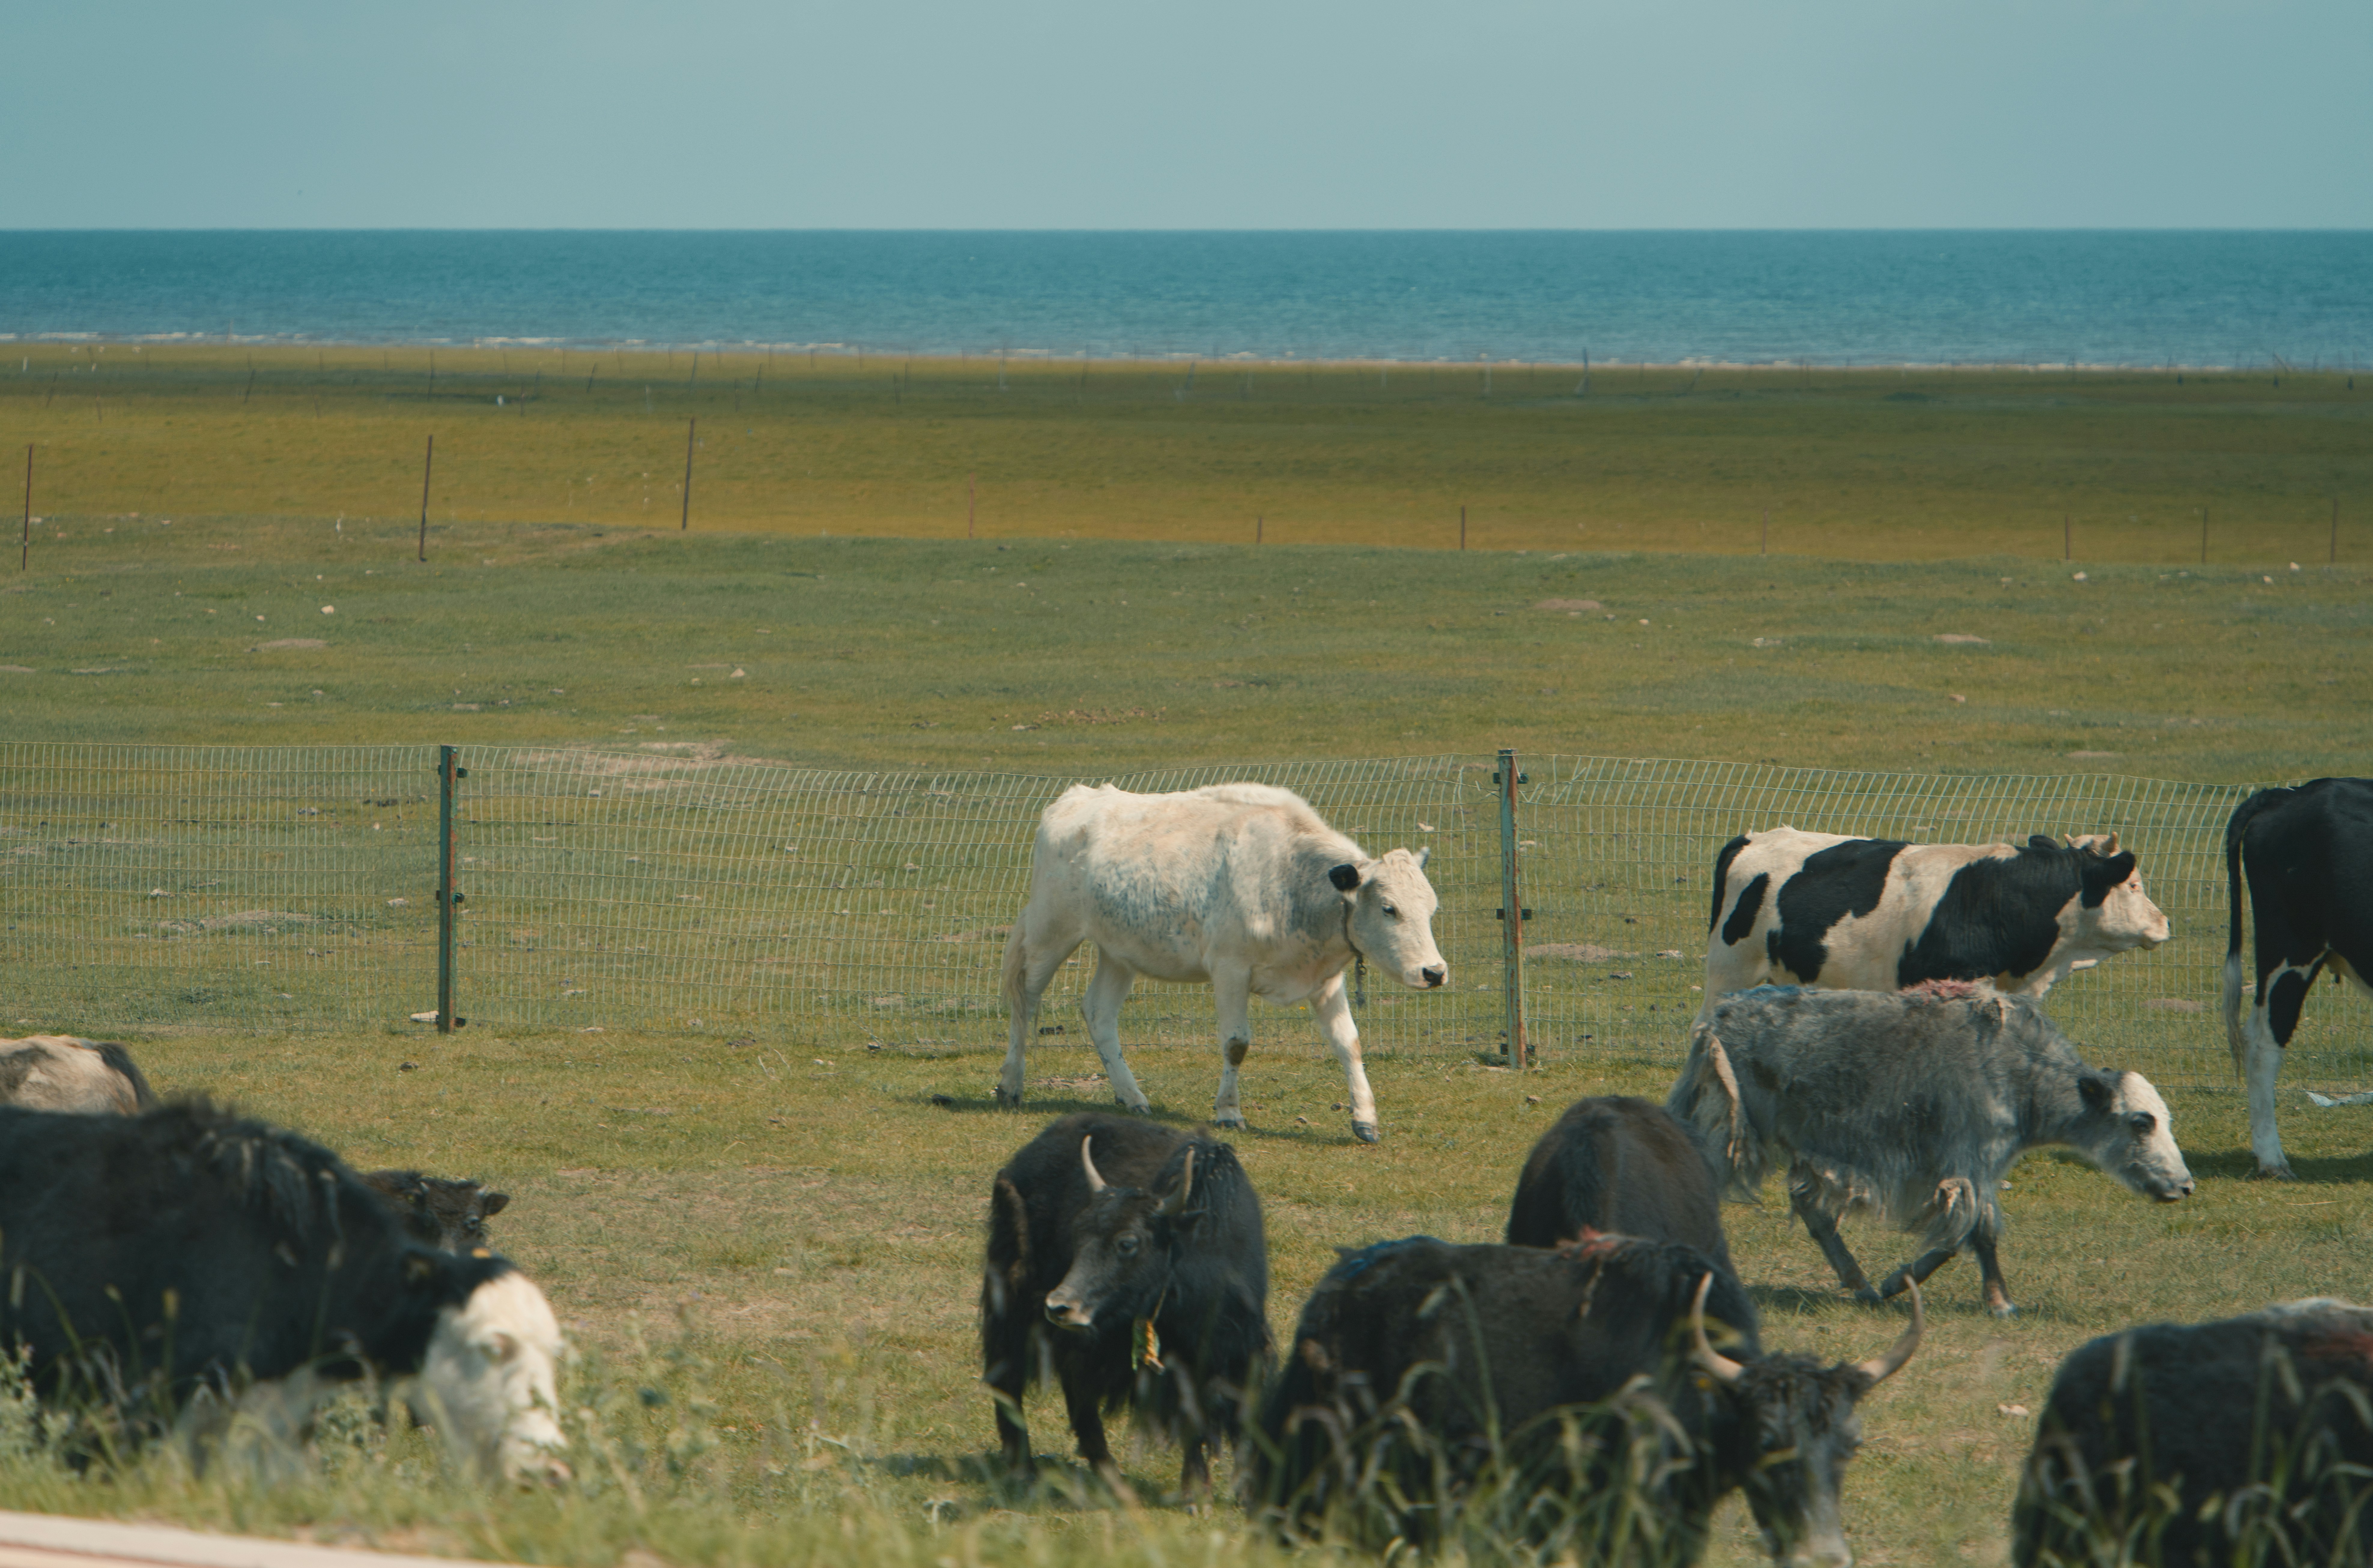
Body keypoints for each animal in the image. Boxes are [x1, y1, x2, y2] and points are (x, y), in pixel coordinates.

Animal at [982, 1112, 1270, 1497]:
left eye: (1128, 1243)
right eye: (1078, 1234)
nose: (1059, 1306)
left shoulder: (1231, 1352)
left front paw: (1220, 1489)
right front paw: (1197, 1492)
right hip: (1013, 1302)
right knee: (1014, 1377)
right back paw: (1031, 1469)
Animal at [998, 782, 1447, 1144]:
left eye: (1431, 909)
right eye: (1389, 909)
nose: (1435, 972)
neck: (1290, 879)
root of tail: (1078, 797)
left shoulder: (1325, 981)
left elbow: (1348, 1043)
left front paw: (1365, 1119)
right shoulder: (1230, 969)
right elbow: (1236, 1043)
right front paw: (1229, 1111)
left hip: (1119, 952)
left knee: (1099, 1013)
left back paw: (1132, 1096)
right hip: (1051, 933)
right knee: (1025, 999)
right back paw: (1011, 1083)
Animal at [1668, 982, 2194, 1316]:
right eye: (2140, 1122)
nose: (2184, 1186)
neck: (2018, 1076)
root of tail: (1722, 1014)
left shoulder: (1975, 1170)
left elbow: (1970, 1235)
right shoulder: (1968, 1163)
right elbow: (1968, 1234)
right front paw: (1992, 1301)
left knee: (1813, 1211)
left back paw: (1858, 1284)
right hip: (1726, 1127)